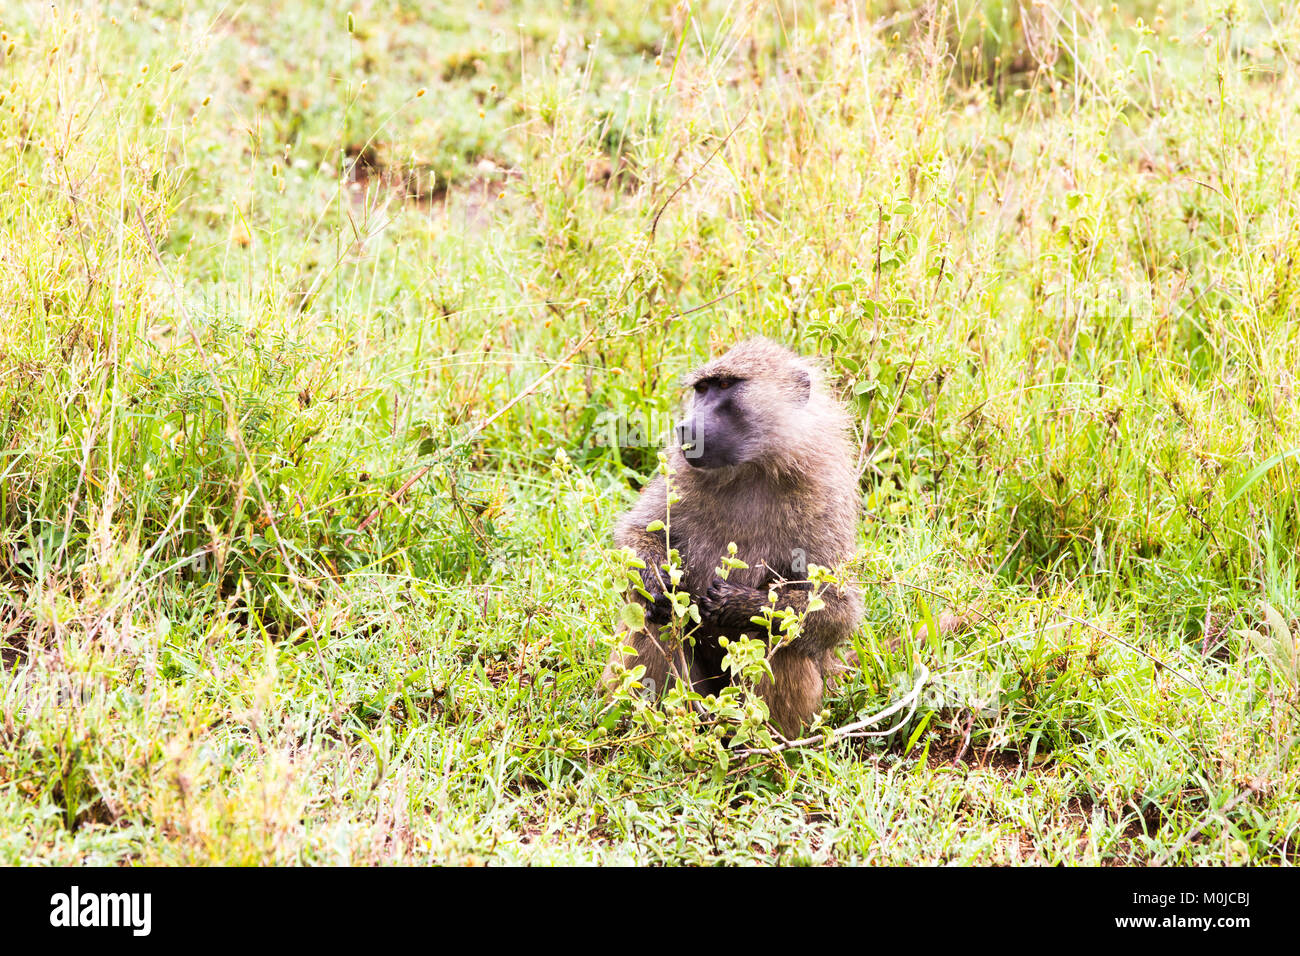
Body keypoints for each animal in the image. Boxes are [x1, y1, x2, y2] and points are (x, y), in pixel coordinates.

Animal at [601, 338, 863, 738]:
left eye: (726, 386)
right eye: (702, 389)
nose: (686, 428)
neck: (751, 468)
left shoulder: (825, 491)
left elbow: (836, 609)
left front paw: (738, 603)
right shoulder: (679, 472)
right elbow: (638, 535)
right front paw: (657, 580)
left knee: (776, 638)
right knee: (652, 616)